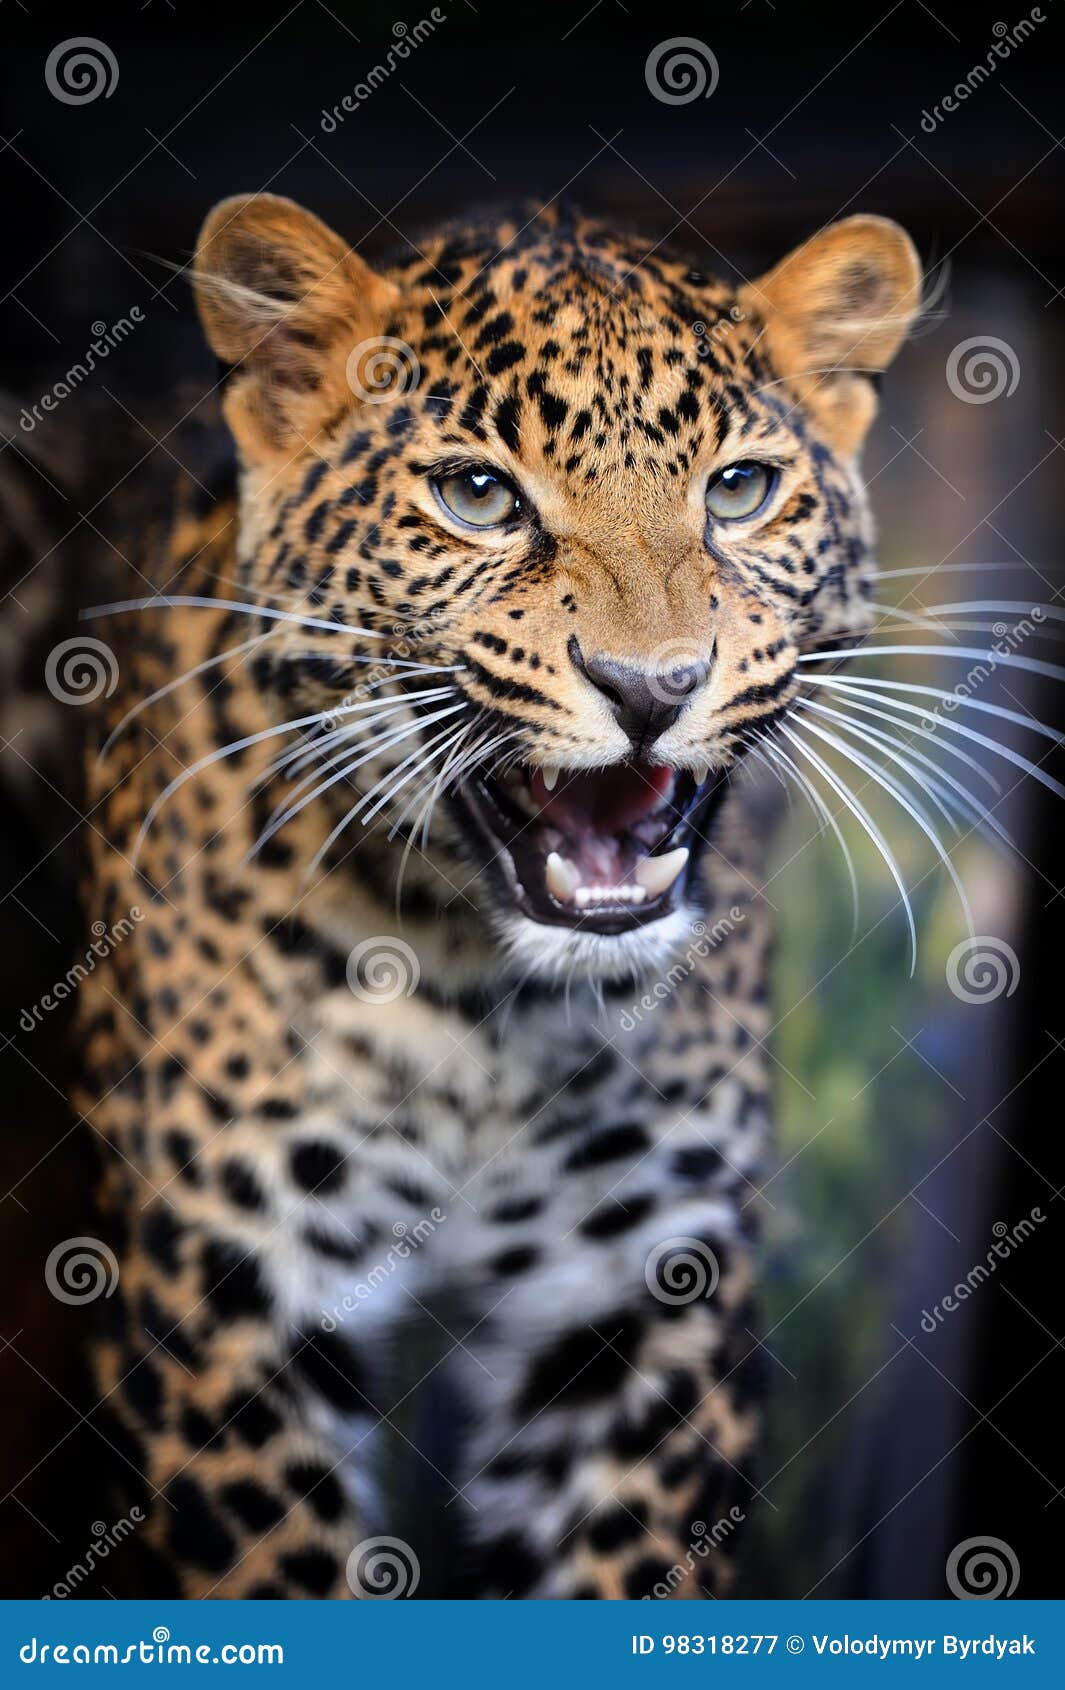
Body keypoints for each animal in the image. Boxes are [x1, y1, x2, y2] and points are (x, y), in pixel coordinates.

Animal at [62, 194, 921, 1599]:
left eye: (738, 491)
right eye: (478, 496)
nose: (651, 685)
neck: (485, 1006)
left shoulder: (640, 1288)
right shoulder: (228, 1289)